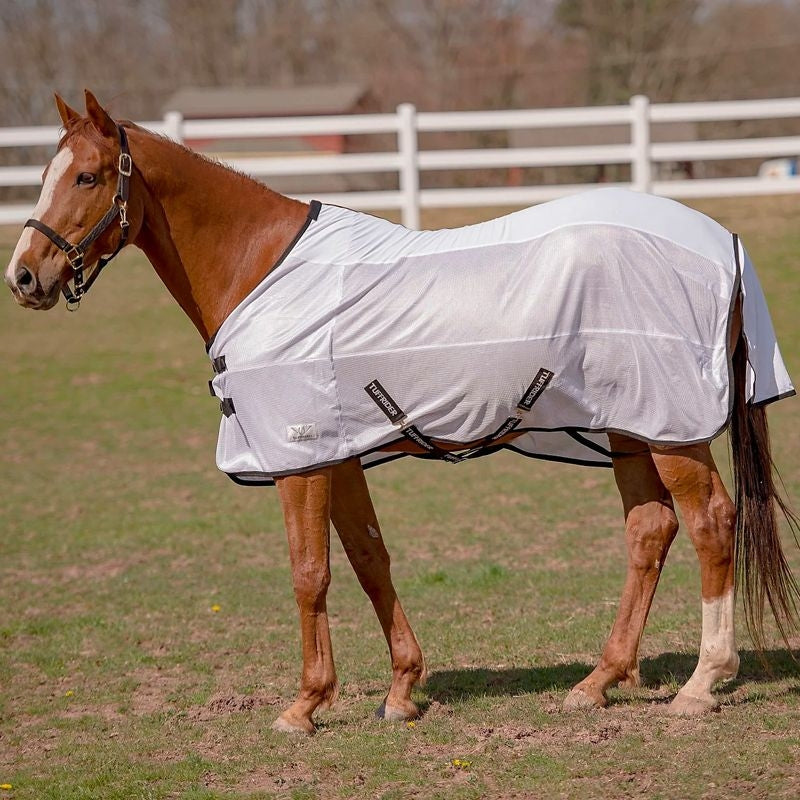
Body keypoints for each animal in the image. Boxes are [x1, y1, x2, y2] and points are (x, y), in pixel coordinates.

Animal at [5, 91, 799, 736]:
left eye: (87, 176)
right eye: (46, 174)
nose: (24, 277)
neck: (261, 267)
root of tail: (719, 241)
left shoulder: (299, 458)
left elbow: (310, 572)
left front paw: (304, 705)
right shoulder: (338, 453)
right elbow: (368, 559)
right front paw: (401, 690)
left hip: (671, 431)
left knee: (710, 523)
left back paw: (701, 684)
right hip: (631, 427)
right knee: (650, 530)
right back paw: (598, 682)